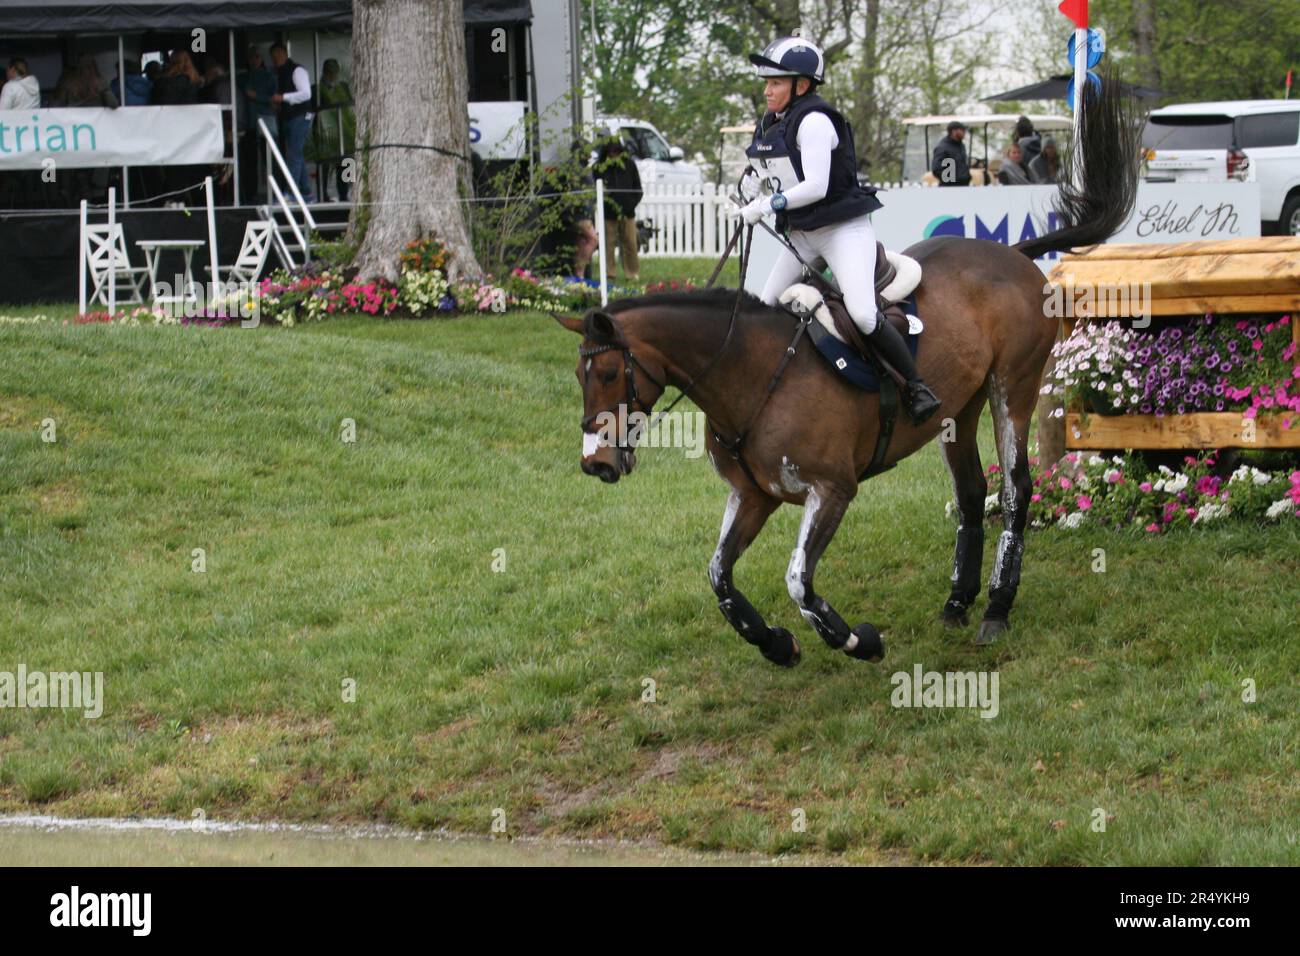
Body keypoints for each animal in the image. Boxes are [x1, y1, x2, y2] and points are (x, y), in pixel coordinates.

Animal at [555, 78, 1141, 665]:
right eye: (582, 379)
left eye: (609, 374)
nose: (594, 464)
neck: (751, 382)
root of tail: (1013, 254)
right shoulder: (753, 495)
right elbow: (719, 576)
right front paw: (776, 644)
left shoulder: (832, 491)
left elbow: (798, 582)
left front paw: (859, 639)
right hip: (960, 408)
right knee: (973, 491)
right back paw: (957, 602)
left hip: (1012, 388)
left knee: (1016, 491)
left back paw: (996, 608)